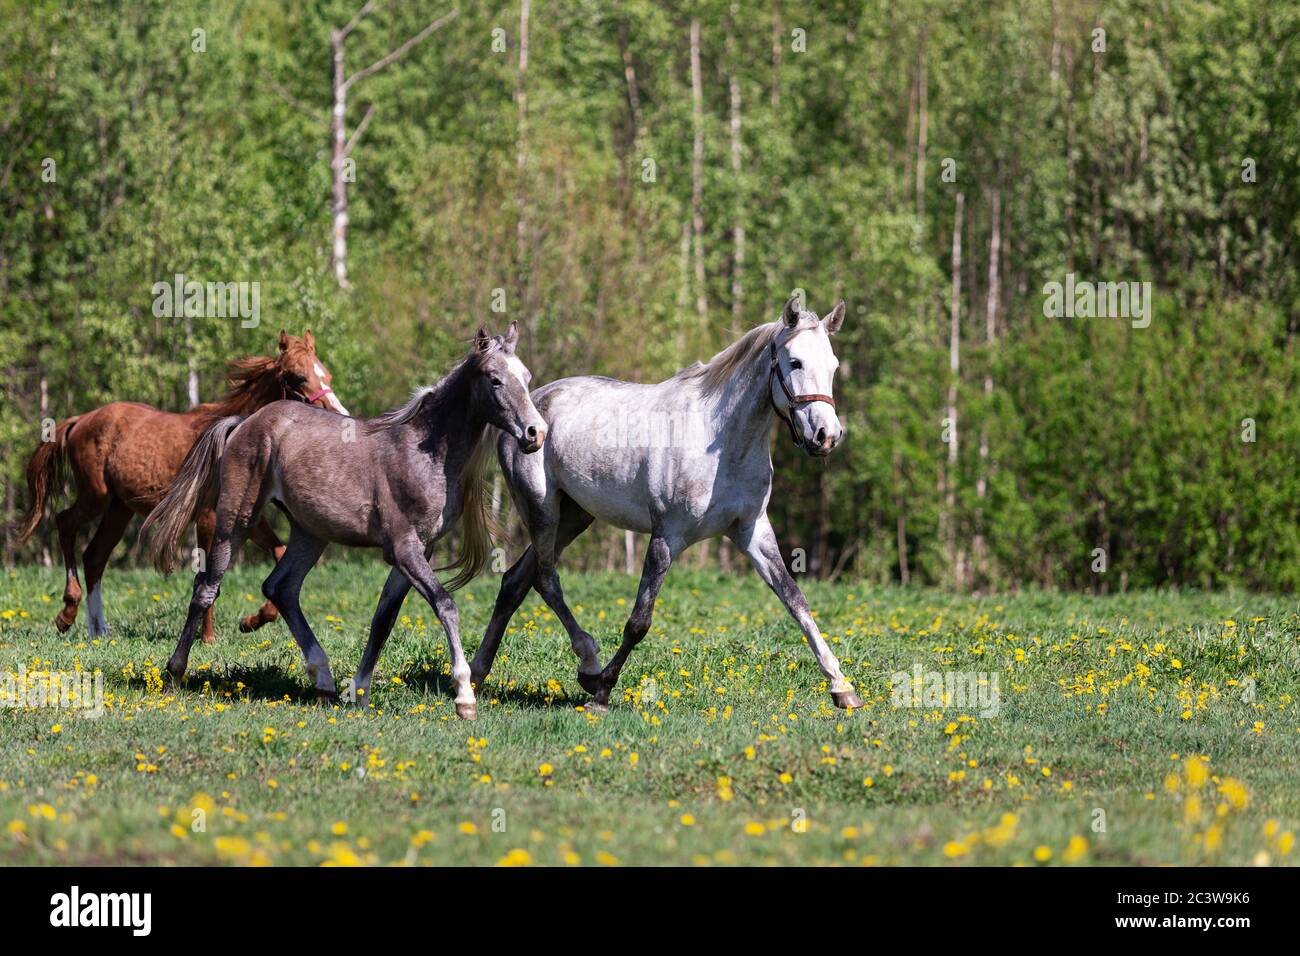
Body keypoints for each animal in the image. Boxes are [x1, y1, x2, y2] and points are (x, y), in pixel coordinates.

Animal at [16, 330, 348, 643]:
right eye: (299, 376)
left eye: (327, 374)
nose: (341, 416)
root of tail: (81, 419)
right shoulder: (209, 518)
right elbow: (208, 575)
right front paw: (208, 638)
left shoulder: (247, 518)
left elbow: (278, 553)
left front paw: (251, 622)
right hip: (95, 496)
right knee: (65, 524)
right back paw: (67, 615)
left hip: (119, 509)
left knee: (95, 557)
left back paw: (99, 629)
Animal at [145, 323, 546, 719]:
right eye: (495, 379)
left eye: (526, 377)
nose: (535, 433)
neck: (424, 453)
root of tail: (245, 422)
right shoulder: (403, 547)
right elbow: (445, 604)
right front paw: (464, 697)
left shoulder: (419, 550)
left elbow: (384, 618)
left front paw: (360, 691)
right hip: (236, 521)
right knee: (206, 587)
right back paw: (175, 672)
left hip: (309, 532)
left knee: (281, 587)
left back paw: (323, 681)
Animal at [470, 296, 864, 712]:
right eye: (795, 362)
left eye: (833, 365)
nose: (826, 436)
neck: (721, 441)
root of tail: (526, 414)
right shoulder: (666, 537)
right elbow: (639, 621)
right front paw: (604, 692)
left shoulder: (752, 531)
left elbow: (796, 601)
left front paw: (842, 687)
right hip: (542, 510)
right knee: (545, 579)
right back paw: (588, 667)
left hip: (574, 517)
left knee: (516, 581)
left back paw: (479, 673)